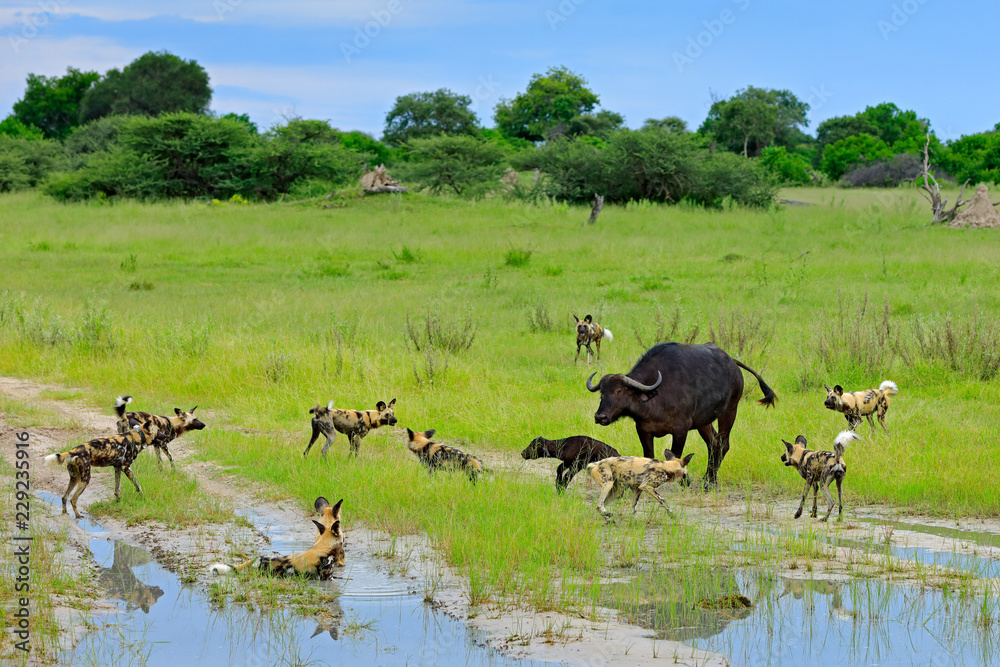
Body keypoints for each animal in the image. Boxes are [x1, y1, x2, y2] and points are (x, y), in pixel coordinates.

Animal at [586, 342, 776, 487]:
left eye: (618, 391)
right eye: (602, 392)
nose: (600, 417)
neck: (655, 395)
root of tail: (732, 363)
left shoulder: (680, 430)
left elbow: (676, 454)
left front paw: (684, 481)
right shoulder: (643, 430)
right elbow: (649, 455)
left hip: (729, 412)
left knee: (723, 444)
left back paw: (711, 482)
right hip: (703, 422)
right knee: (713, 443)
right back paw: (707, 477)